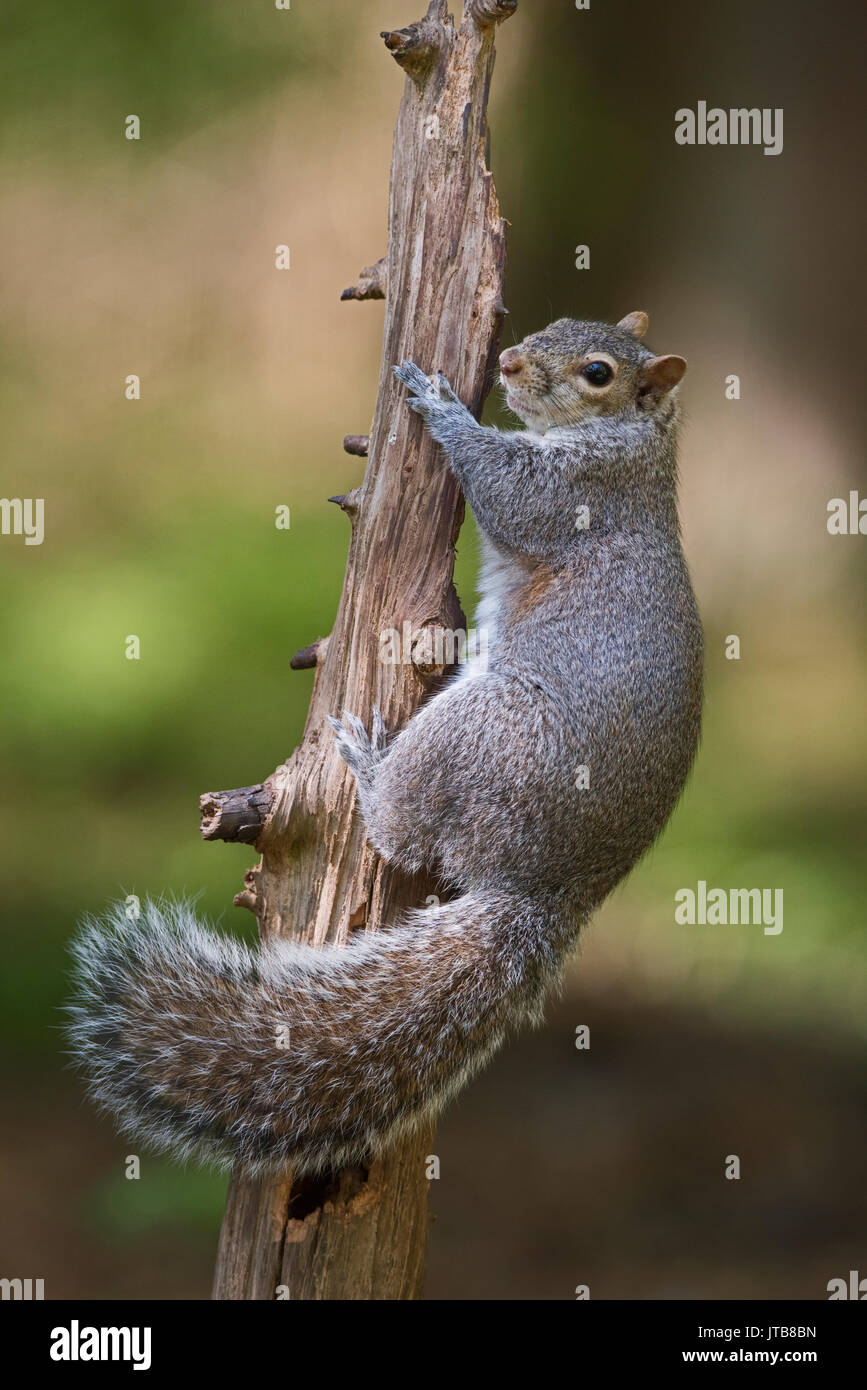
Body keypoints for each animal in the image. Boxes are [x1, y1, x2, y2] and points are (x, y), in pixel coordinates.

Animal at [68, 311, 703, 1177]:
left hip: (479, 734)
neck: (636, 443)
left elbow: (502, 487)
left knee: (401, 833)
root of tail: (547, 892)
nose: (508, 360)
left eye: (597, 372)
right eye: (552, 325)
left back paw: (369, 770)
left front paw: (439, 403)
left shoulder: (571, 496)